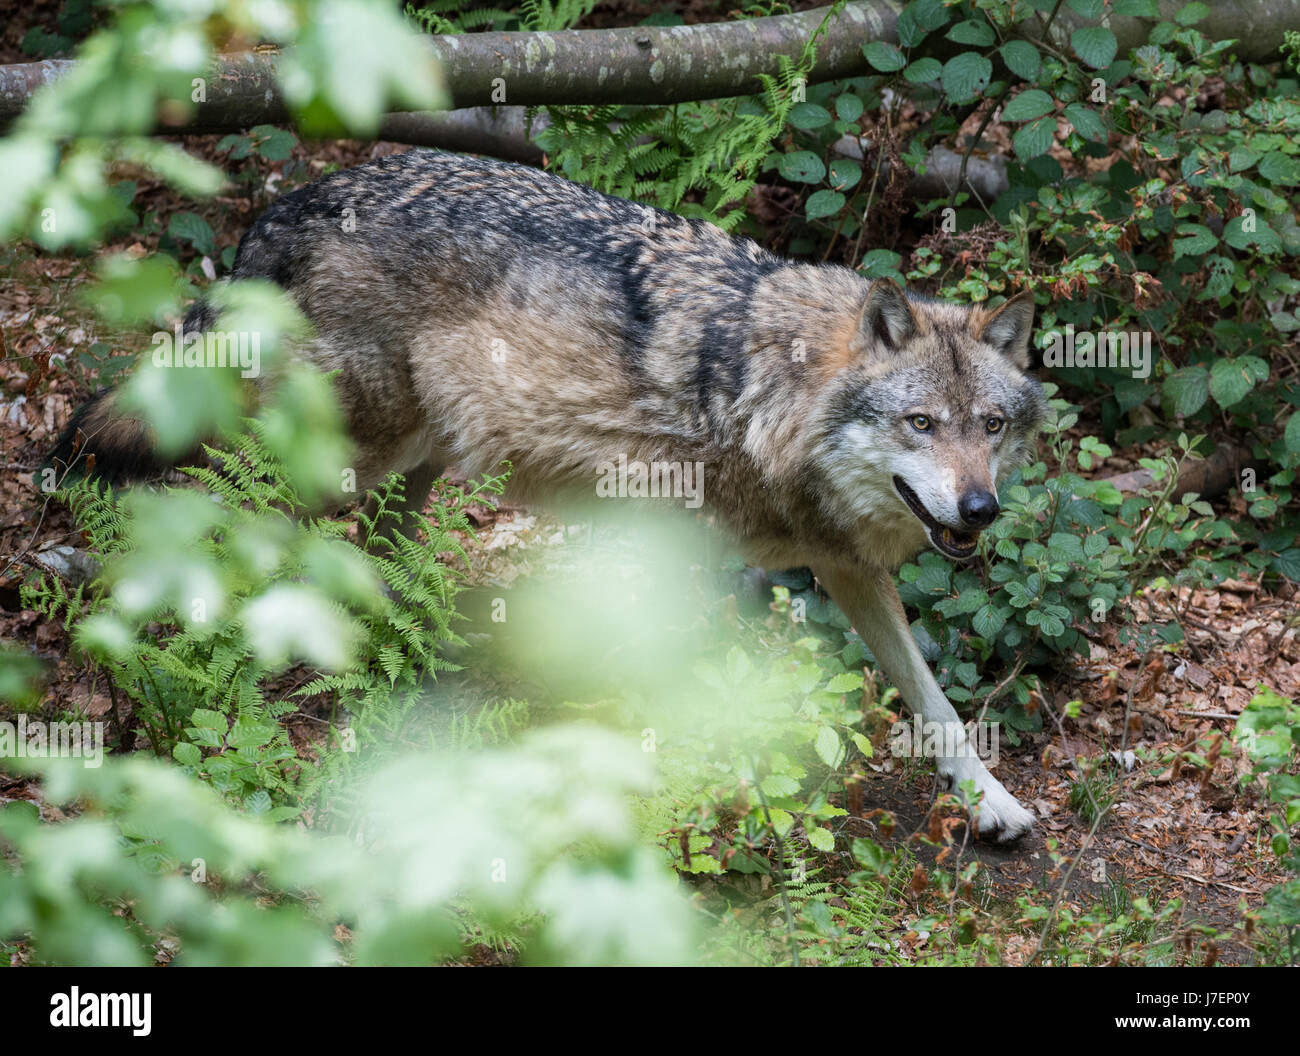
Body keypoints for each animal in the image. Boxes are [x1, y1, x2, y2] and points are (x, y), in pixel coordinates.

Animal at [51, 149, 1045, 840]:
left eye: (991, 426)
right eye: (921, 423)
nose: (980, 511)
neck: (768, 399)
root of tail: (284, 207)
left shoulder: (842, 567)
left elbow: (935, 702)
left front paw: (989, 802)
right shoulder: (682, 546)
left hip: (423, 458)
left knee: (373, 547)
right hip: (343, 458)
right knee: (225, 520)